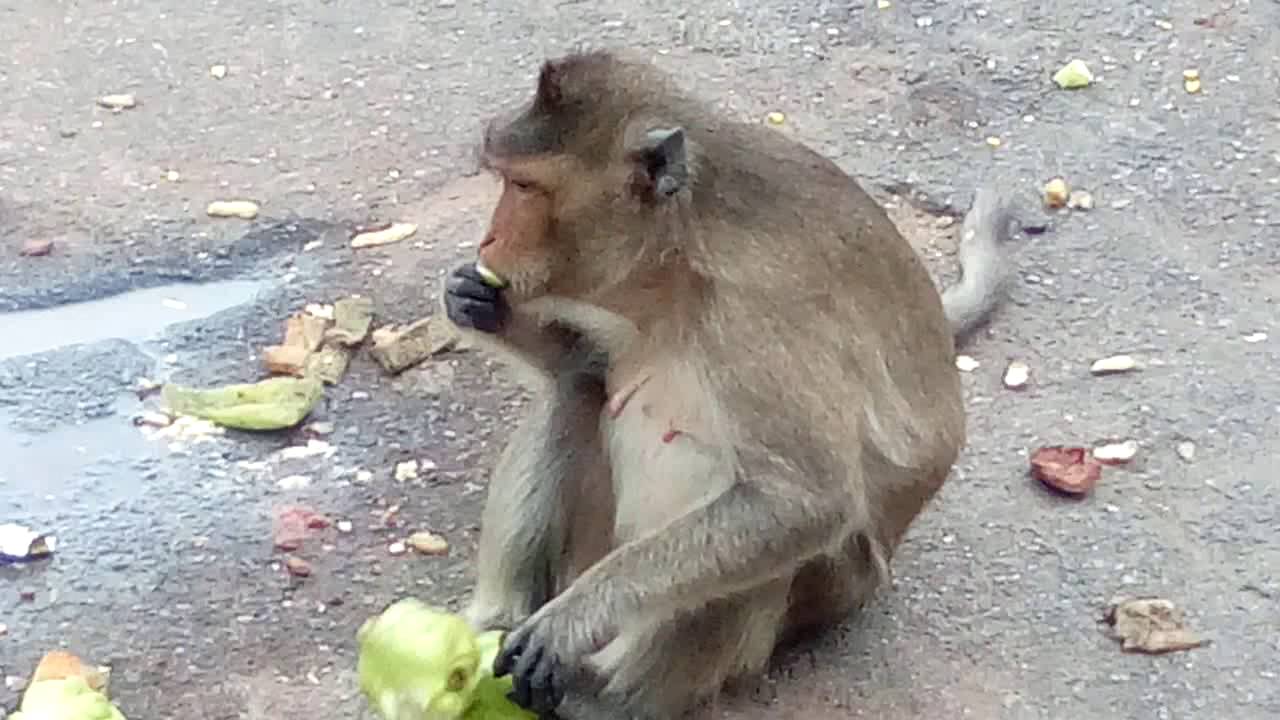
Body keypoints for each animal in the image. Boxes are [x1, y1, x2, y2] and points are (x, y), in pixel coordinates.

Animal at [441, 49, 1014, 720]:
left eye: (526, 188)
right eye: (508, 182)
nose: (489, 240)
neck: (682, 253)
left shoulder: (760, 320)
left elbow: (805, 501)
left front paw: (572, 621)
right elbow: (589, 367)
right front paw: (479, 304)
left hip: (829, 591)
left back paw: (607, 697)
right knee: (576, 396)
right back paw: (498, 620)